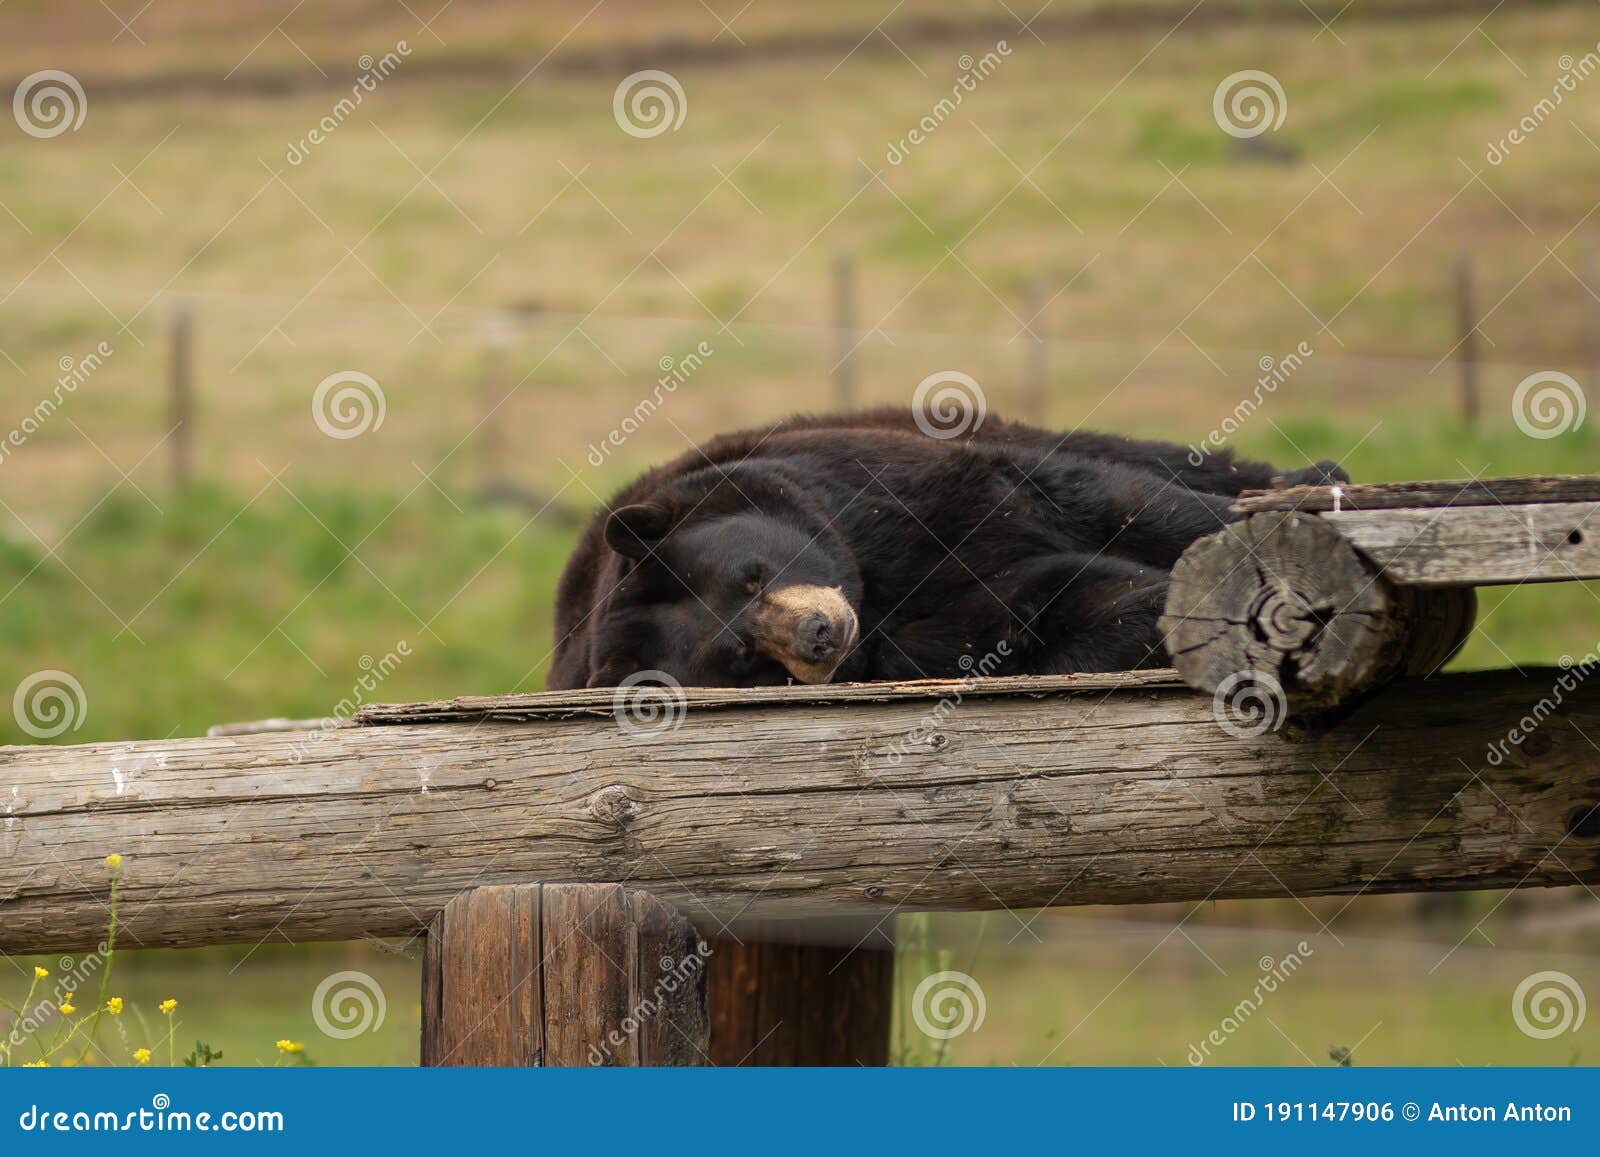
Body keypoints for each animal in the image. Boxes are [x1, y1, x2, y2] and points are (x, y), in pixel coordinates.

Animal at [547, 408, 1347, 690]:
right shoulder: (911, 637)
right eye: (742, 656)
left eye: (752, 573)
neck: (871, 592)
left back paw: (1314, 475)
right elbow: (1048, 612)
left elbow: (1096, 502)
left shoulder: (877, 498)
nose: (818, 633)